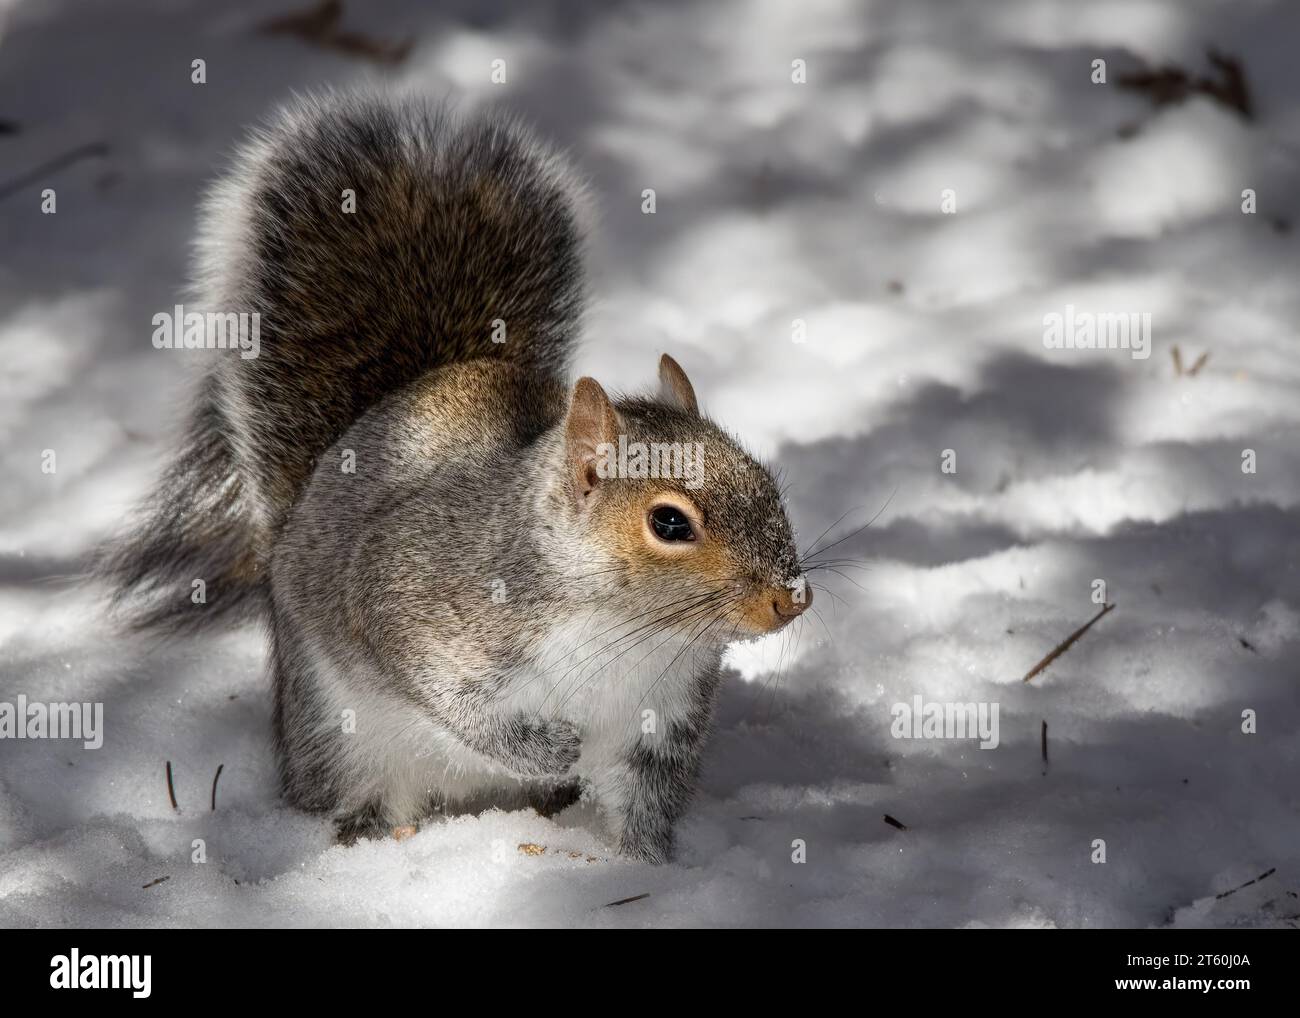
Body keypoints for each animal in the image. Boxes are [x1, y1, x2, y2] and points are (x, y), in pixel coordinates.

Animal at [101, 91, 811, 863]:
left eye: (769, 483)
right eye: (670, 522)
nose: (791, 599)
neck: (625, 627)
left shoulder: (662, 726)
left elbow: (644, 811)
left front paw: (644, 869)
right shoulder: (415, 602)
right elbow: (452, 698)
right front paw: (548, 748)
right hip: (335, 734)